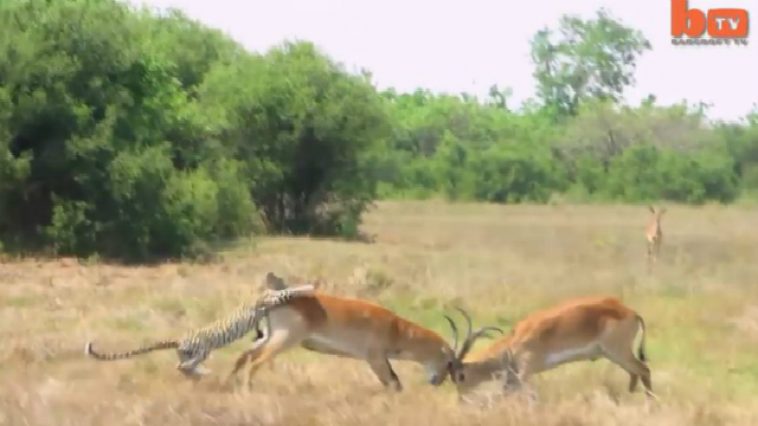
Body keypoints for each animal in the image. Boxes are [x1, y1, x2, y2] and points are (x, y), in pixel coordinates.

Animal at [226, 273, 501, 392]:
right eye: (449, 362)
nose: (437, 381)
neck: (396, 328)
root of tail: (272, 298)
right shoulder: (375, 358)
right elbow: (393, 383)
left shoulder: (381, 359)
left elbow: (395, 381)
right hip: (284, 339)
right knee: (256, 362)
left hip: (267, 337)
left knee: (242, 357)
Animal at [445, 296, 655, 401]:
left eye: (461, 376)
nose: (461, 399)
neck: (512, 342)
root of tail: (631, 312)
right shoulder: (514, 376)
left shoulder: (525, 372)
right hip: (614, 355)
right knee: (635, 375)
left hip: (619, 352)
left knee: (644, 370)